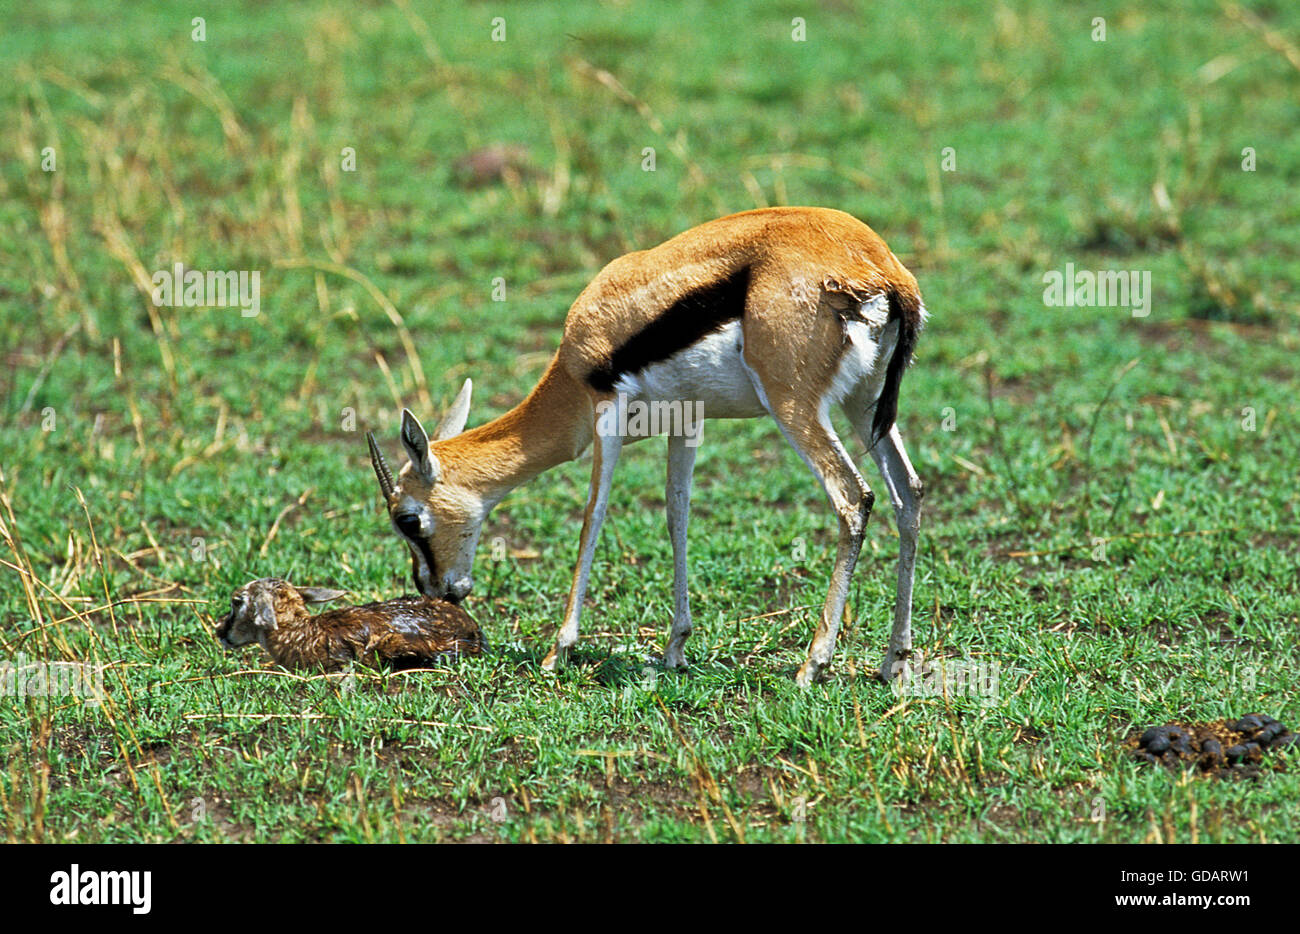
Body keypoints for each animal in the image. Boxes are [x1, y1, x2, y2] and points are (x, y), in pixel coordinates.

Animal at [366, 206, 926, 685]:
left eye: (407, 520)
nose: (435, 591)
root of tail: (877, 266)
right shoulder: (687, 422)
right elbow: (677, 514)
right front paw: (676, 648)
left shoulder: (606, 420)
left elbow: (593, 516)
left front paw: (557, 650)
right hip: (864, 403)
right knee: (909, 492)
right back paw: (893, 662)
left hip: (797, 407)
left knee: (854, 498)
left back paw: (813, 665)